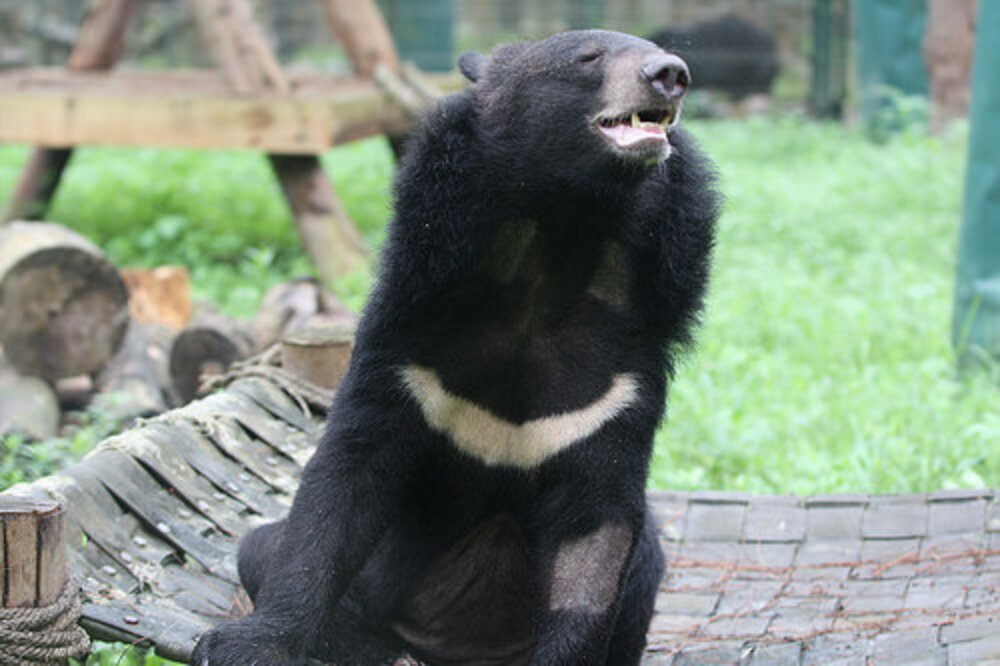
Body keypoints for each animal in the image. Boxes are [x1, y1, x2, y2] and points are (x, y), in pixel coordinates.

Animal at [191, 29, 719, 666]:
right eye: (588, 58)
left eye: (660, 51)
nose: (671, 75)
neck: (560, 233)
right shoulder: (410, 336)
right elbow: (342, 486)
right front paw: (245, 644)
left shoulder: (615, 386)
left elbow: (594, 535)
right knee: (259, 549)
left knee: (645, 563)